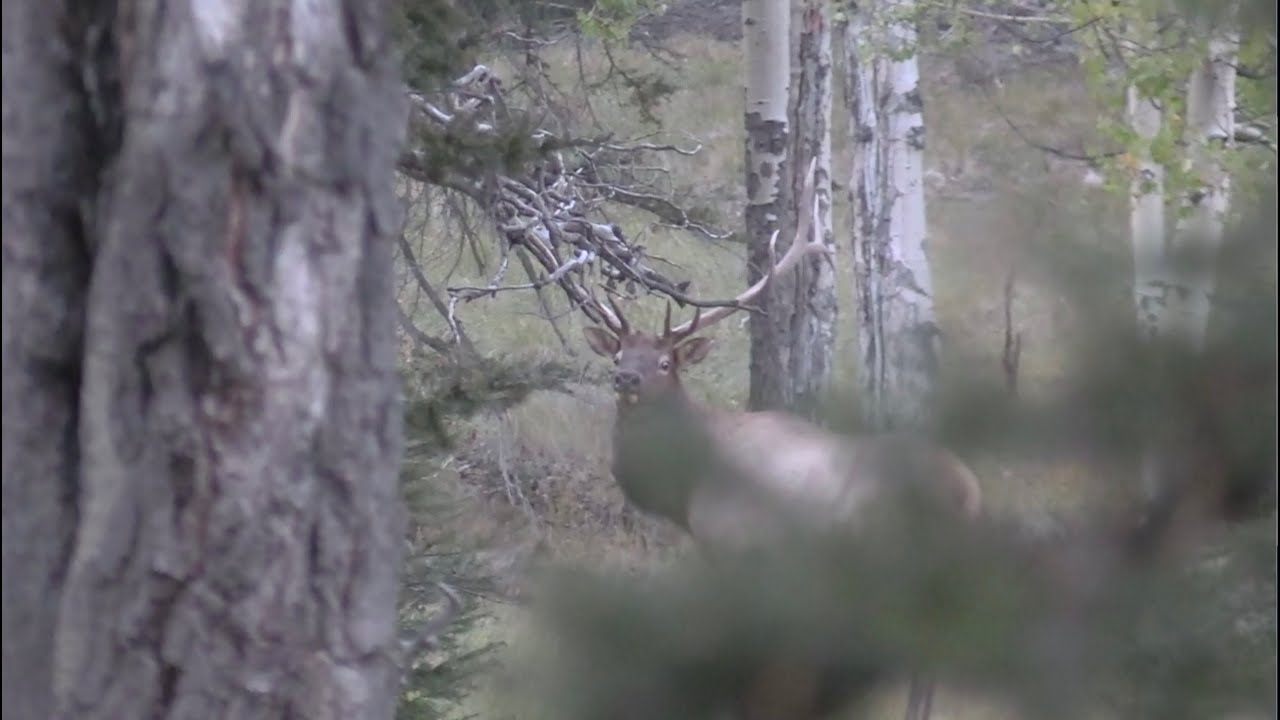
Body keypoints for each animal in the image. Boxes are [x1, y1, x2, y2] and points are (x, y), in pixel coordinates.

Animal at [578, 160, 983, 720]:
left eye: (663, 363)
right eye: (619, 355)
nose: (626, 379)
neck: (687, 488)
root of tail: (969, 494)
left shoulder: (735, 546)